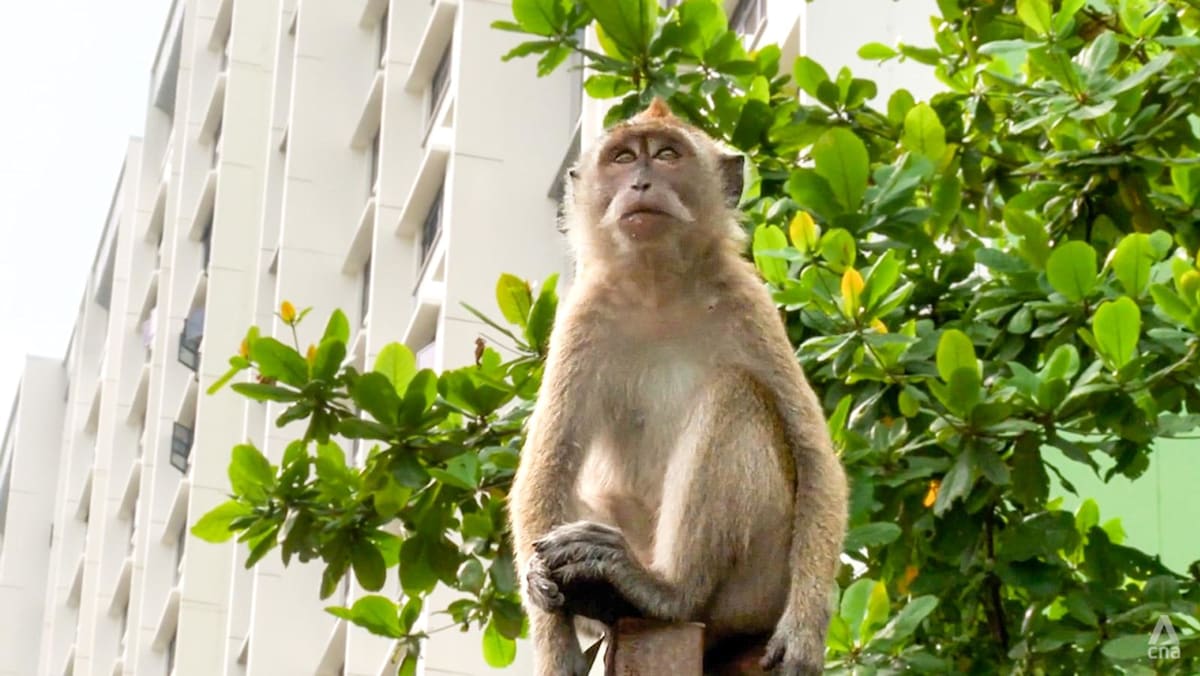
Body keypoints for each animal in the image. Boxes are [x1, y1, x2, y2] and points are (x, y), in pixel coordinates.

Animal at [508, 97, 848, 676]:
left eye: (667, 155)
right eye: (623, 158)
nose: (641, 183)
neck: (658, 287)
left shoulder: (748, 303)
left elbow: (814, 457)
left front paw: (806, 634)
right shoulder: (583, 316)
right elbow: (548, 467)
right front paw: (554, 640)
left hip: (758, 587)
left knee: (735, 394)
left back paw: (663, 591)